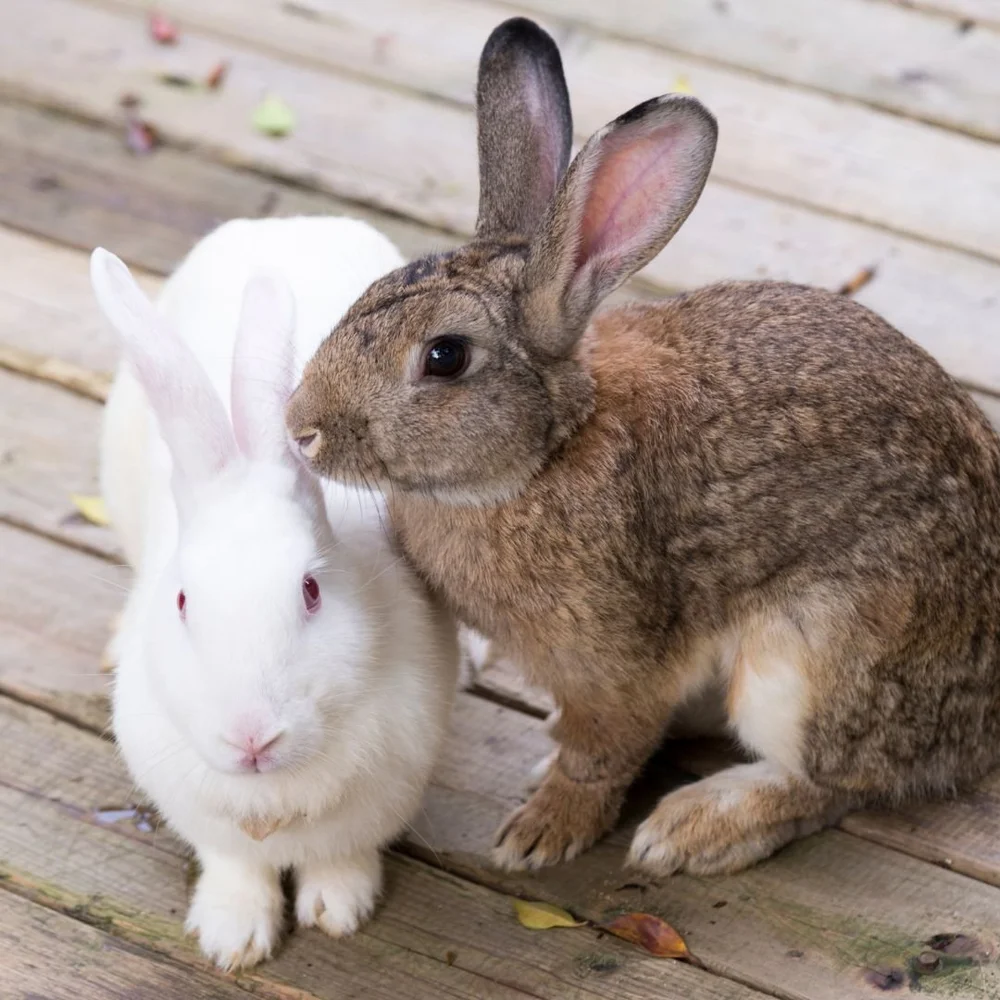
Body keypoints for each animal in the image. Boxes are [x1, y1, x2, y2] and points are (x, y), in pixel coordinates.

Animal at [92, 216, 458, 970]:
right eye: (181, 602)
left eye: (311, 590)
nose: (252, 737)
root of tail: (289, 222)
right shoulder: (207, 817)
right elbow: (237, 865)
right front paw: (233, 937)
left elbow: (344, 854)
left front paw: (339, 910)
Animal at [285, 16, 1000, 880]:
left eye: (444, 357)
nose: (300, 426)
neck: (548, 451)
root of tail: (982, 718)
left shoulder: (615, 669)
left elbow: (603, 751)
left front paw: (542, 832)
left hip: (812, 657)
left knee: (835, 780)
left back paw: (697, 827)